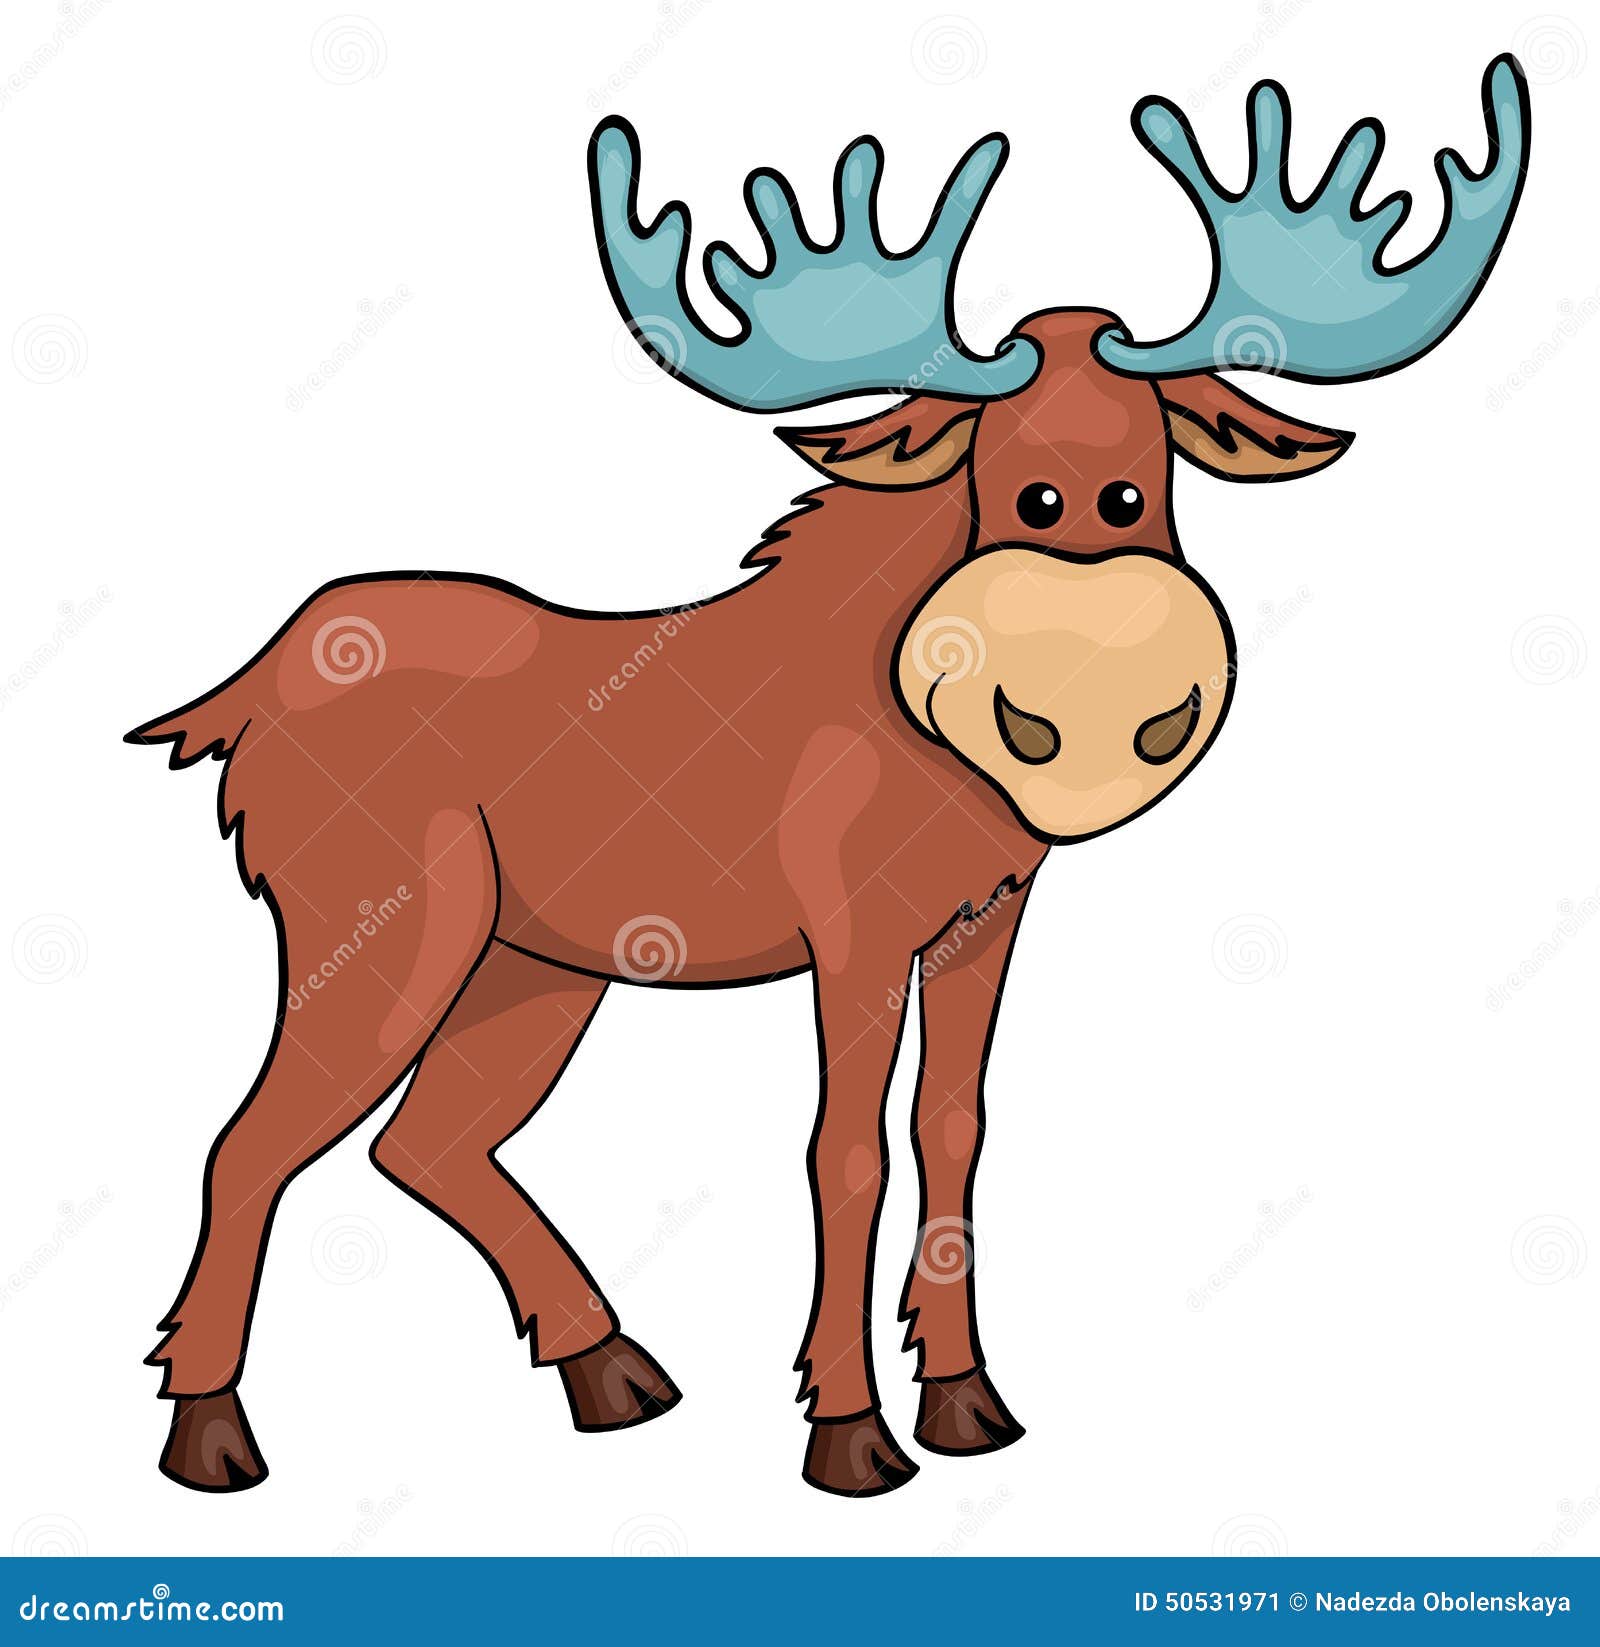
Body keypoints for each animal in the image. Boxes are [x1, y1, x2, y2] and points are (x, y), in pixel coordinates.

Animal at [129, 57, 1529, 1496]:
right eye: (1025, 490)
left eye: (1138, 486)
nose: (1100, 710)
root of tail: (243, 697)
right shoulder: (849, 926)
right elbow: (841, 1150)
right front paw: (847, 1427)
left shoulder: (986, 917)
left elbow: (952, 1130)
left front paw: (966, 1396)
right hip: (384, 928)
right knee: (251, 1142)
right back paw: (209, 1429)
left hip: (535, 966)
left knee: (428, 1142)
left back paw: (609, 1368)